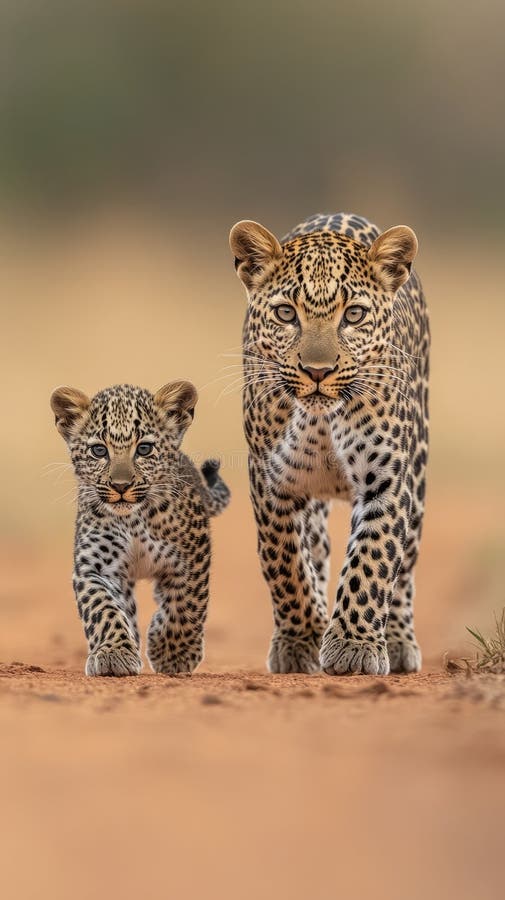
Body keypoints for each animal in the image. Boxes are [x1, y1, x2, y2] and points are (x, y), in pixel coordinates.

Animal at [50, 381, 230, 676]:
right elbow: (103, 609)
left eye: (144, 449)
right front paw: (114, 653)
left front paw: (173, 653)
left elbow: (187, 603)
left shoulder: (192, 556)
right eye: (99, 451)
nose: (121, 486)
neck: (133, 520)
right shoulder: (94, 568)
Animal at [229, 211, 429, 676]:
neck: (321, 420)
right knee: (315, 550)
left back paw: (397, 641)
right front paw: (302, 638)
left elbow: (373, 559)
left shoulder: (387, 478)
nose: (317, 371)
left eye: (353, 315)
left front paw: (353, 646)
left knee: (405, 567)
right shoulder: (271, 480)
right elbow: (285, 563)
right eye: (286, 313)